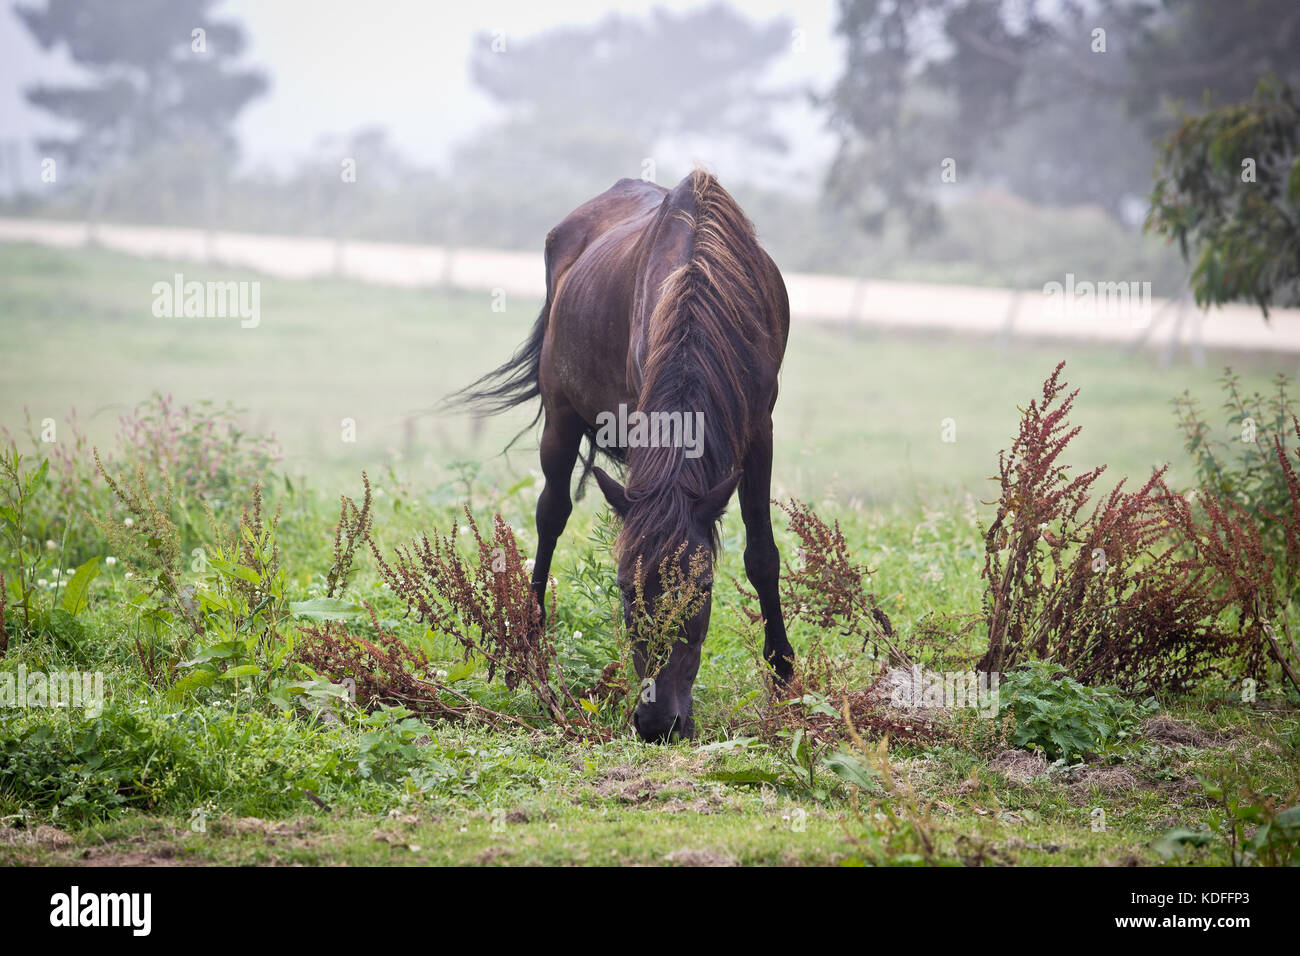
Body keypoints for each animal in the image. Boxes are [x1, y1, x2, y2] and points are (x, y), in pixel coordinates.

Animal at [452, 169, 793, 741]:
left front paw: (785, 676)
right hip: (560, 415)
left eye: (702, 590)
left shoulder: (759, 427)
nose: (658, 723)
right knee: (551, 514)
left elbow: (763, 555)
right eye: (624, 590)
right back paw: (530, 647)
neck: (701, 286)